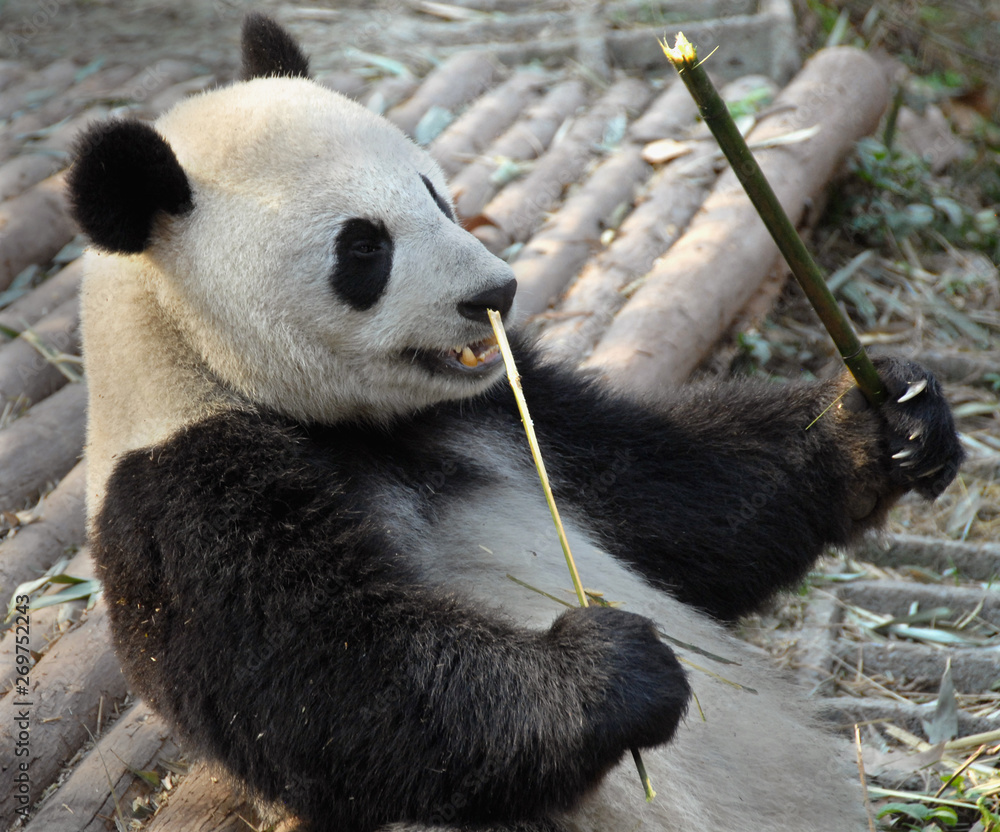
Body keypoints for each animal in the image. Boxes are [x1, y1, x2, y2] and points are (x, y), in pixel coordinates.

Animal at [67, 14, 963, 832]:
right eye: (363, 247)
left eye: (435, 193)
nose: (494, 293)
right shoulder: (182, 490)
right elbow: (330, 684)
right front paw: (610, 670)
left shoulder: (501, 409)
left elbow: (676, 501)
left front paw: (879, 426)